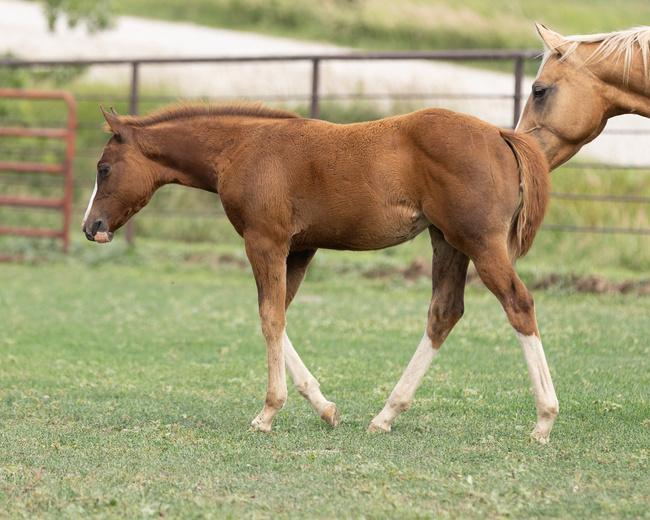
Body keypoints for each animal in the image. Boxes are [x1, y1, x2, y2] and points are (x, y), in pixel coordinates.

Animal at [82, 102, 556, 442]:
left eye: (104, 169)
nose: (92, 227)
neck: (242, 148)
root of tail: (500, 134)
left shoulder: (265, 242)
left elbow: (270, 317)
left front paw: (268, 412)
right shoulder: (300, 249)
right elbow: (277, 316)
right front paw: (326, 409)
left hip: (478, 241)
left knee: (518, 303)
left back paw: (544, 419)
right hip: (447, 241)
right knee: (444, 313)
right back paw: (386, 415)